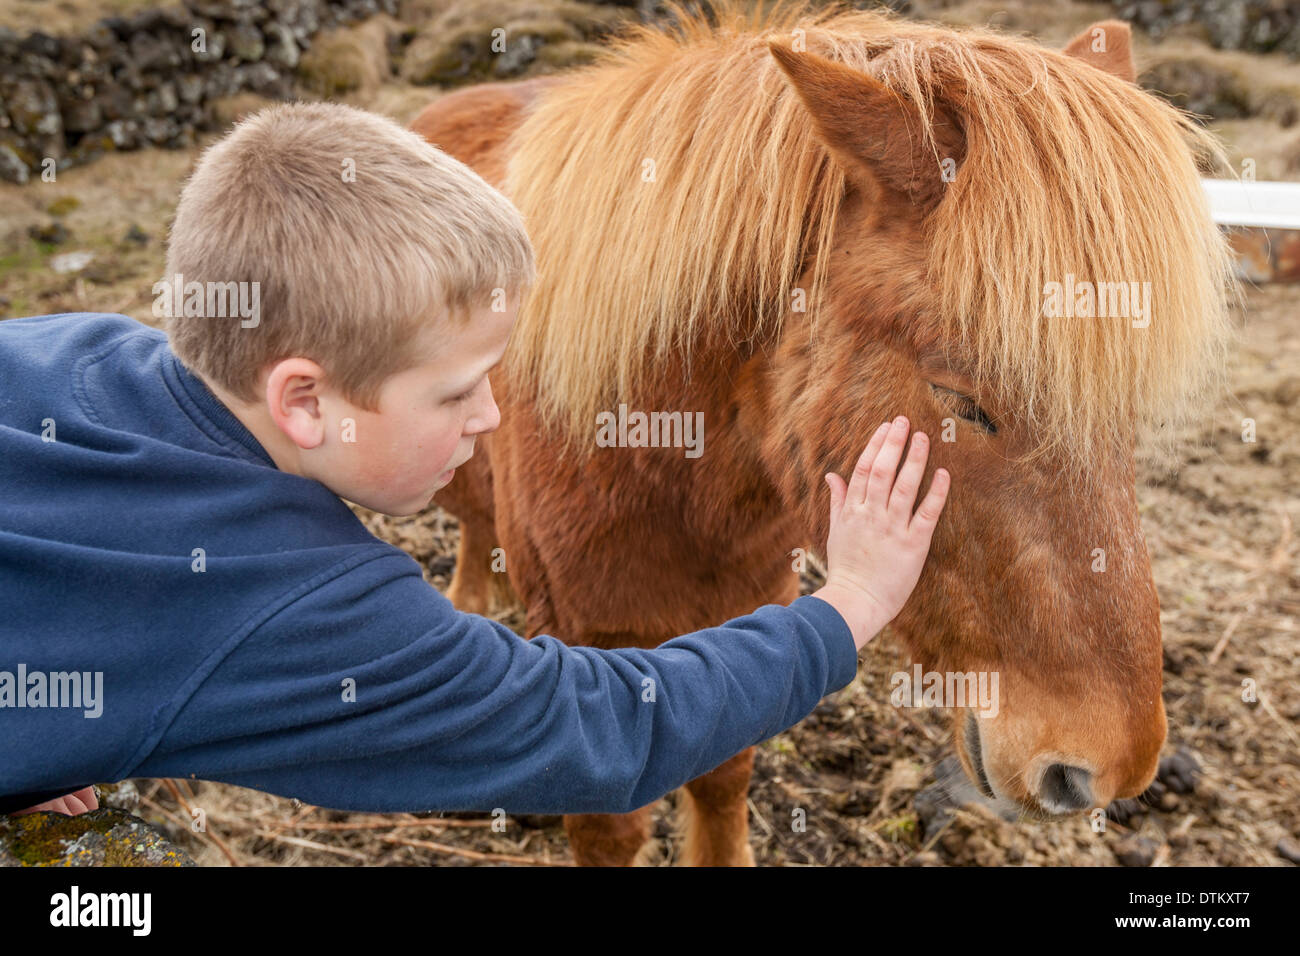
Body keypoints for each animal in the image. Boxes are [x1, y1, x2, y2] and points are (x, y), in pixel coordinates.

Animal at [410, 1, 1234, 865]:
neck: (658, 454)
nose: (1108, 766)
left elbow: (723, 773)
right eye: (961, 398)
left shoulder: (744, 611)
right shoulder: (585, 645)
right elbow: (610, 823)